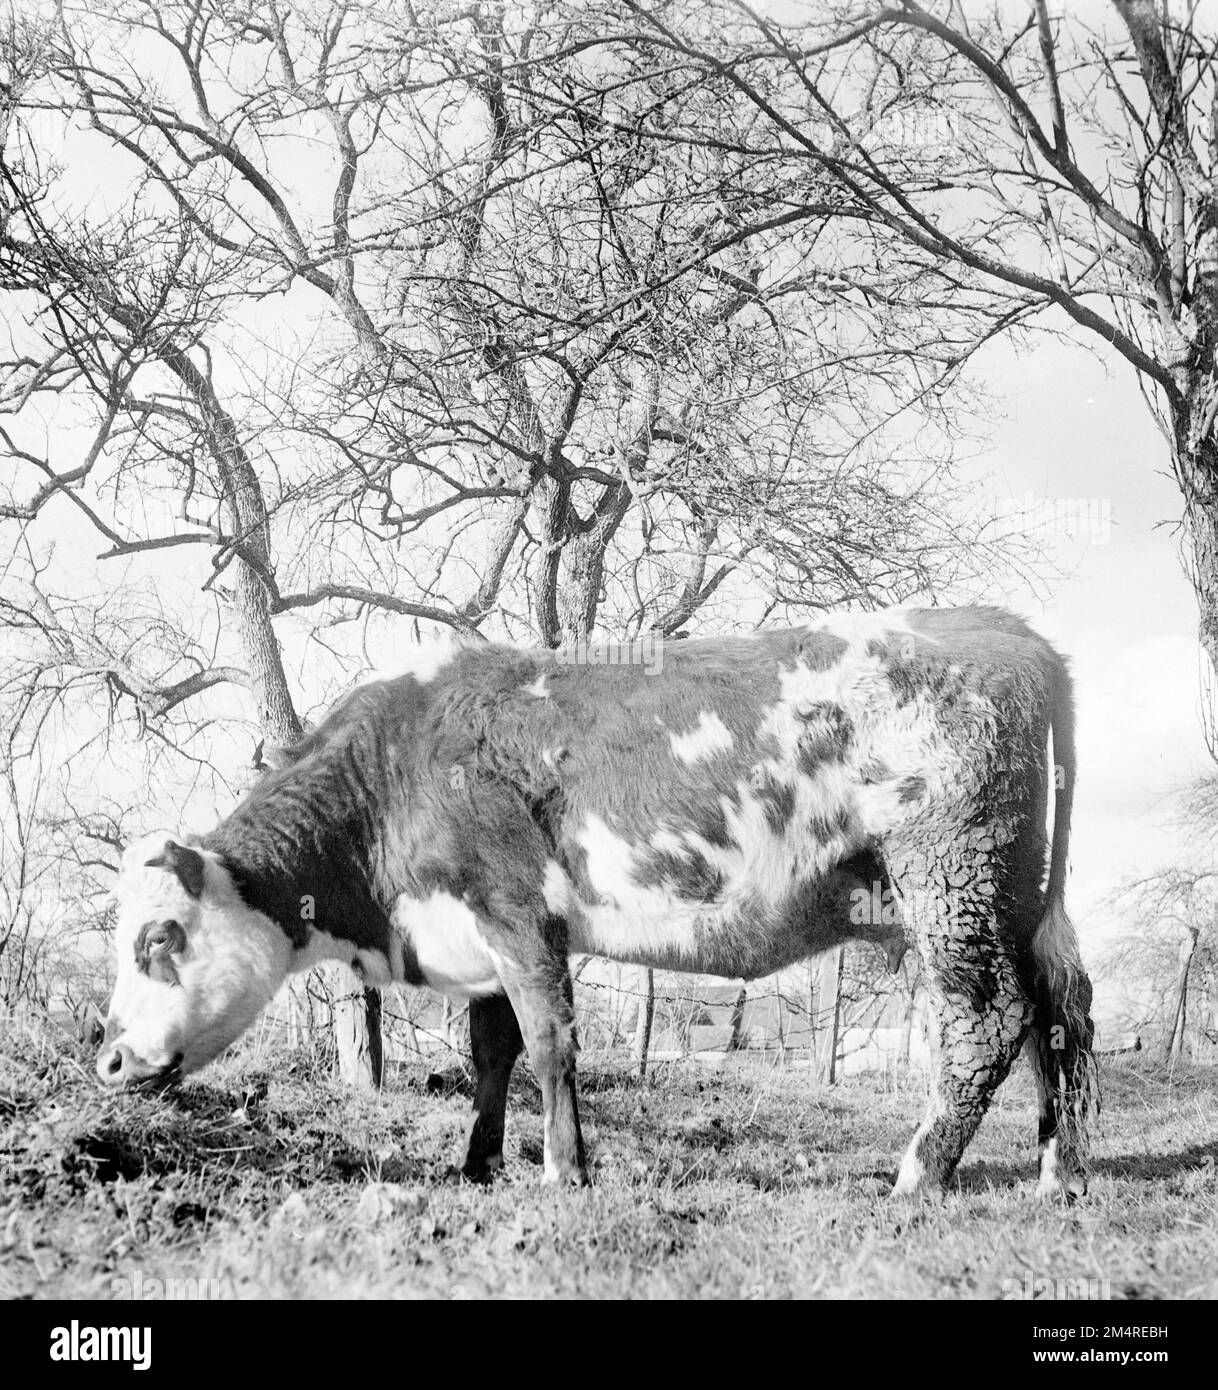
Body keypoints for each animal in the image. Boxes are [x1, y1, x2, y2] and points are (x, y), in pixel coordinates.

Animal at [97, 605, 1097, 1199]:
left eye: (159, 938)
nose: (106, 1060)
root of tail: (997, 626)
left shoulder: (516, 912)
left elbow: (548, 1047)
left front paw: (564, 1171)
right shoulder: (485, 940)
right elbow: (491, 1052)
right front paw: (479, 1164)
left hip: (950, 878)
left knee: (988, 1020)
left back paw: (920, 1172)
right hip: (1010, 897)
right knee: (1059, 1011)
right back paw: (1060, 1171)